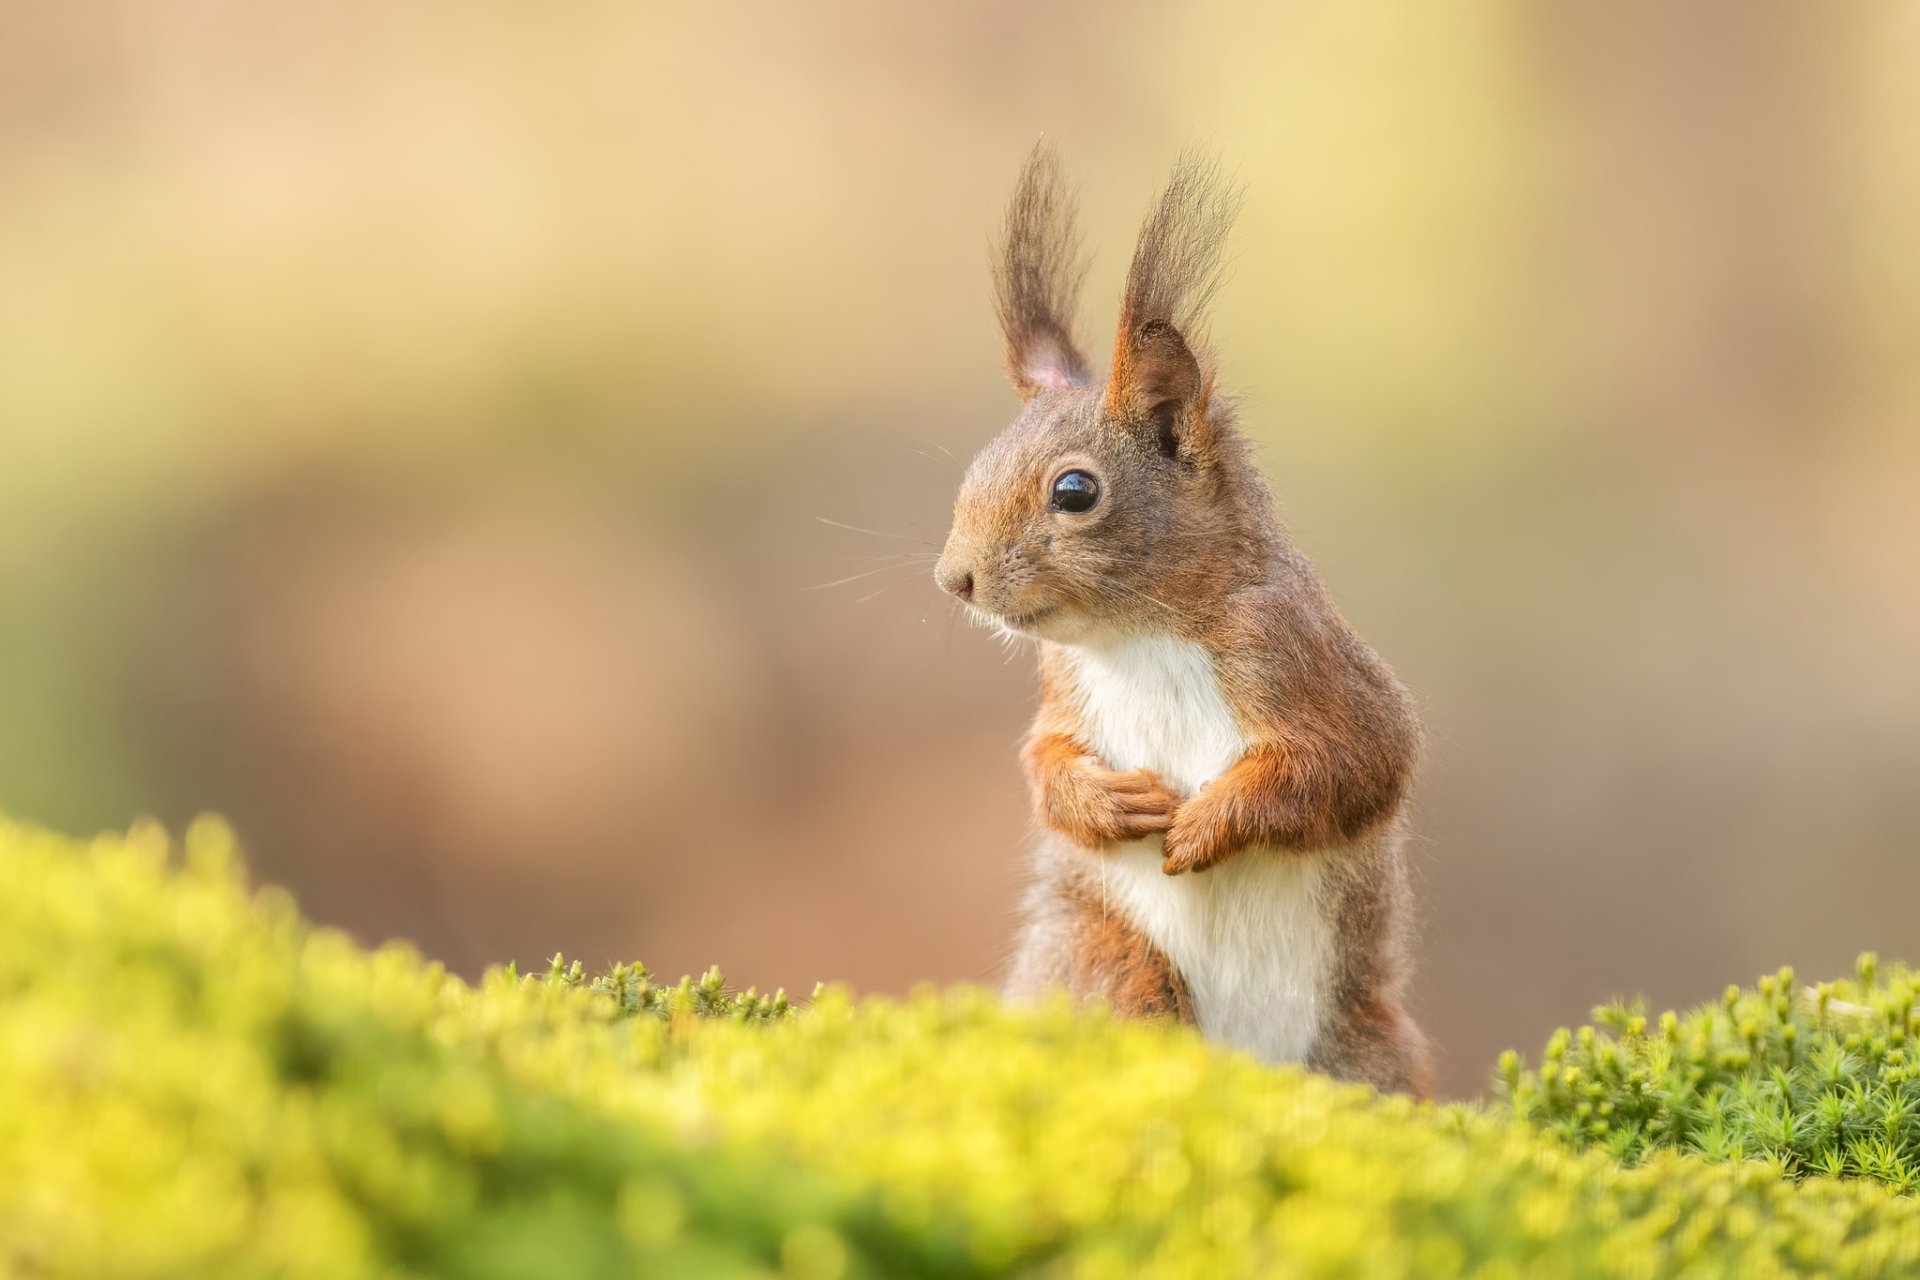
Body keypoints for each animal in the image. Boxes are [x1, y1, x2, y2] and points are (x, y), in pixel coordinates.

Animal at [934, 145, 1432, 1097]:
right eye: (976, 467)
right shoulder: (1065, 685)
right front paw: (1104, 798)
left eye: (1075, 491)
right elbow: (1043, 760)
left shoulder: (1294, 652)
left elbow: (1354, 763)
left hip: (1362, 1048)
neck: (1140, 637)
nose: (954, 580)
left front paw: (1210, 822)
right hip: (1110, 959)